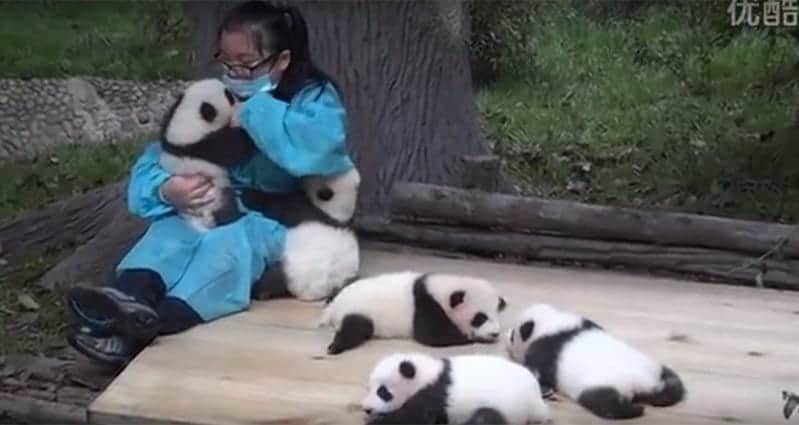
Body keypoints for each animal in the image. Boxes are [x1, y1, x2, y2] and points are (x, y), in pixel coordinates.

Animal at [159, 78, 256, 232]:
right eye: (228, 96)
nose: (238, 97)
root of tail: (199, 220)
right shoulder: (205, 145)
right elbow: (236, 148)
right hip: (217, 197)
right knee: (226, 212)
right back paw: (236, 215)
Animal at [242, 167, 362, 302]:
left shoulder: (297, 207)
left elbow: (273, 203)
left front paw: (247, 193)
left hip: (291, 267)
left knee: (270, 276)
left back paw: (260, 291)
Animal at [317, 271, 507, 355]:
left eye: (496, 314)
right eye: (480, 318)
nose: (495, 333)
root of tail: (334, 308)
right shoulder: (426, 306)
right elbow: (430, 335)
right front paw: (466, 338)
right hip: (360, 311)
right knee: (355, 328)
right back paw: (335, 347)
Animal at [360, 352, 552, 425]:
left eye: (383, 392)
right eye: (369, 388)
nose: (367, 409)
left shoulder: (431, 394)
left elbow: (411, 418)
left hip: (506, 408)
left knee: (484, 418)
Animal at [504, 303, 685, 420]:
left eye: (513, 335)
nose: (507, 335)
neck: (552, 323)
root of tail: (643, 382)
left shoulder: (542, 350)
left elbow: (535, 371)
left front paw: (545, 389)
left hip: (602, 384)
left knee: (603, 402)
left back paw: (634, 410)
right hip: (655, 369)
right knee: (673, 382)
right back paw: (664, 397)